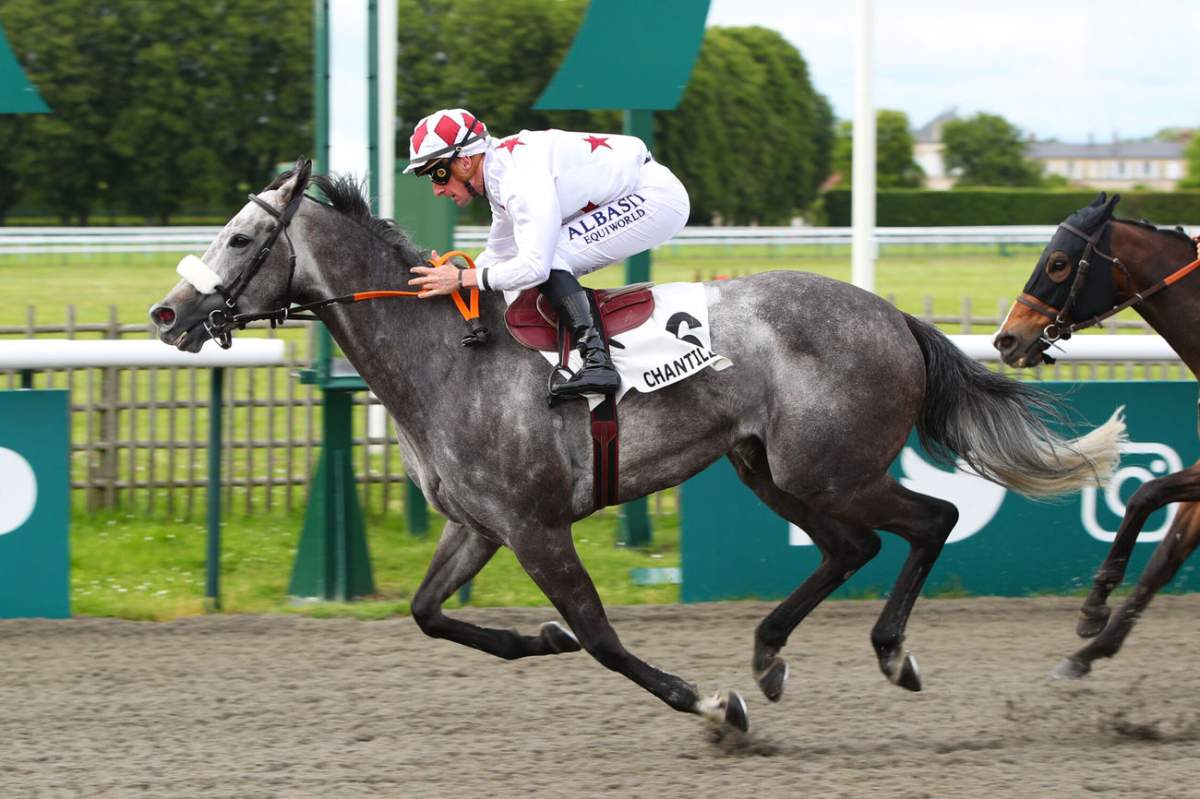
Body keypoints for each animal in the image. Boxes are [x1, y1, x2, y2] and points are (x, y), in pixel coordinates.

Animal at [150, 158, 1124, 732]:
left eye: (241, 237)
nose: (166, 313)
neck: (448, 353)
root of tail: (894, 315)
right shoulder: (480, 525)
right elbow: (430, 613)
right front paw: (538, 638)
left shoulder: (535, 526)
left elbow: (602, 636)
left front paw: (711, 703)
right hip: (769, 466)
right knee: (852, 546)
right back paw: (770, 651)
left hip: (831, 465)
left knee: (932, 518)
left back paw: (885, 650)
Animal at [994, 192, 1200, 679]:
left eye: (1059, 263)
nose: (1006, 340)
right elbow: (1164, 560)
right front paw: (1088, 649)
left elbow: (1143, 493)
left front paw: (1093, 606)